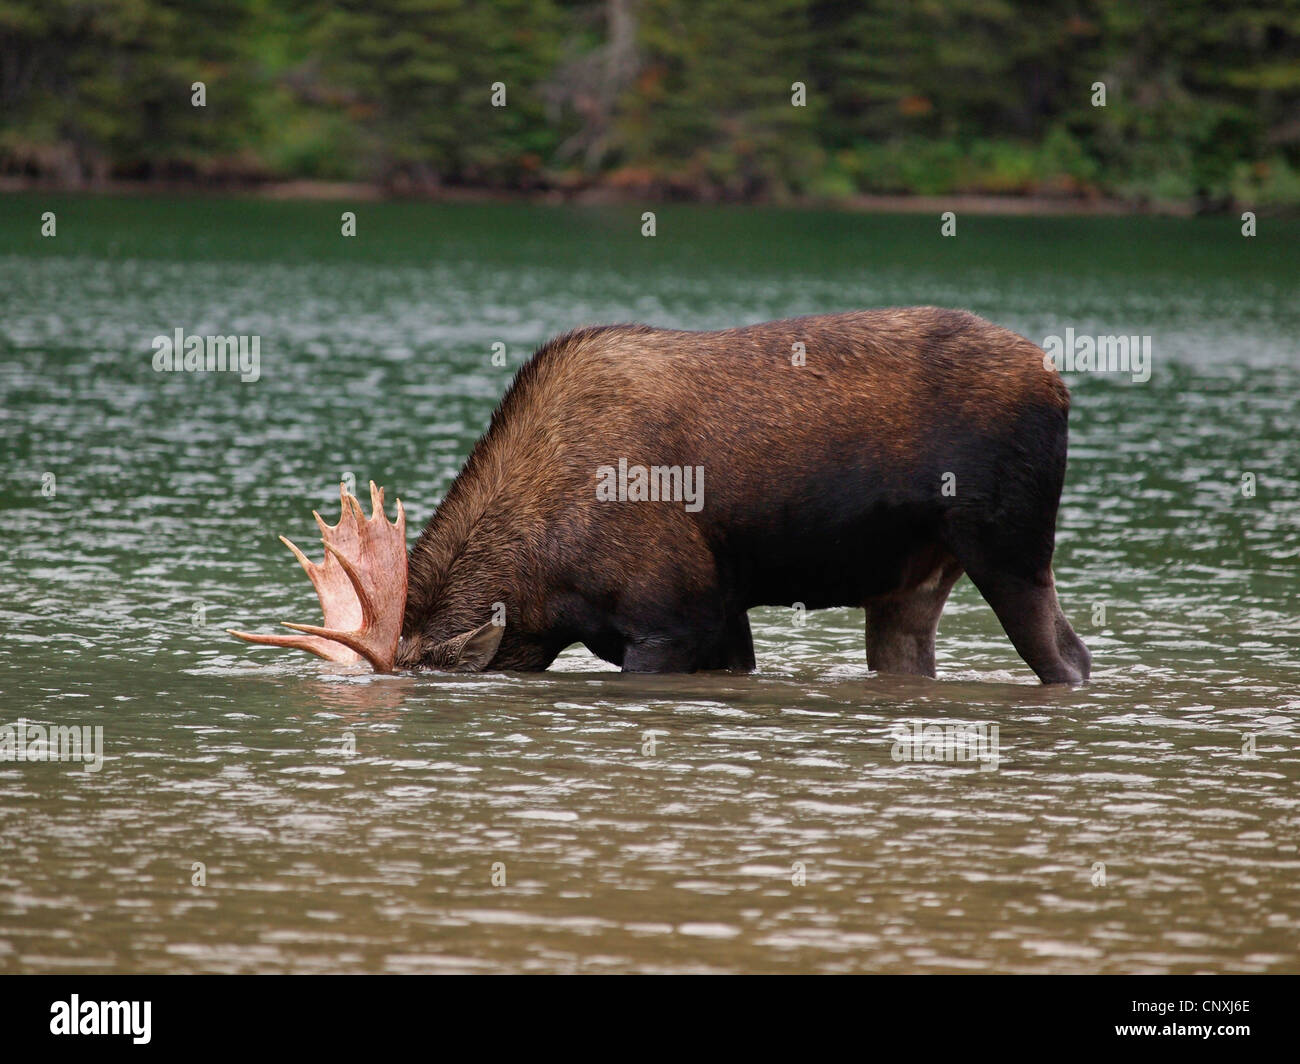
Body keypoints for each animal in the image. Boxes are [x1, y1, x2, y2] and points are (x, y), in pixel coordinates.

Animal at [228, 304, 1092, 681]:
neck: (543, 580)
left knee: (1069, 656)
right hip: (913, 580)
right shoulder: (711, 620)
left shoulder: (676, 614)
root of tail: (1058, 382)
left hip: (1009, 542)